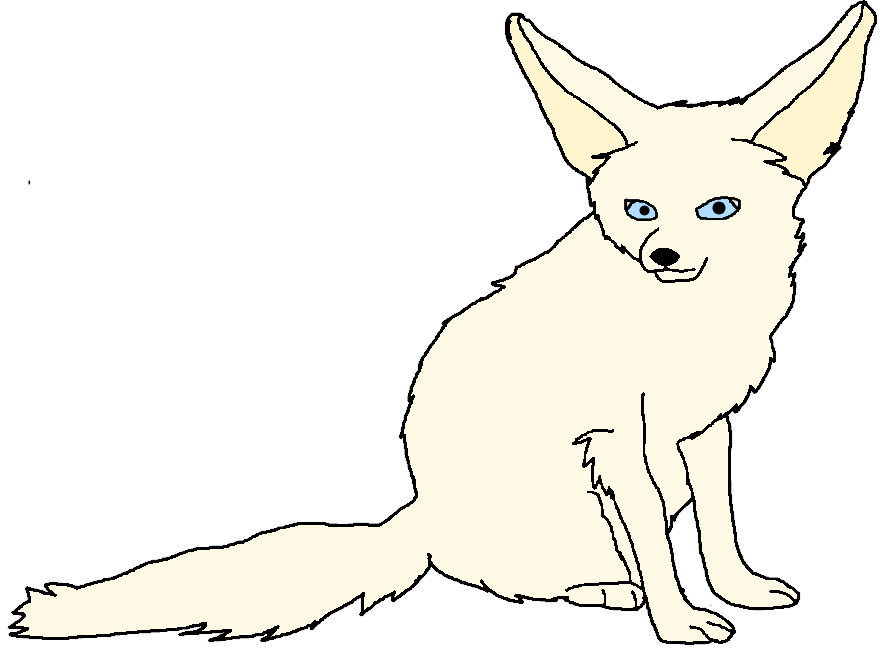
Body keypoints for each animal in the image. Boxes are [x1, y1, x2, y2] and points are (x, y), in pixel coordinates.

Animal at [9, 2, 875, 646]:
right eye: (638, 210)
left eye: (717, 208)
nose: (660, 255)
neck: (690, 320)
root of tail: (418, 516)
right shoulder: (621, 440)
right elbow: (663, 550)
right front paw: (679, 620)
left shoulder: (706, 427)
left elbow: (719, 522)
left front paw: (739, 589)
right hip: (571, 494)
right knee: (531, 573)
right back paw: (605, 586)